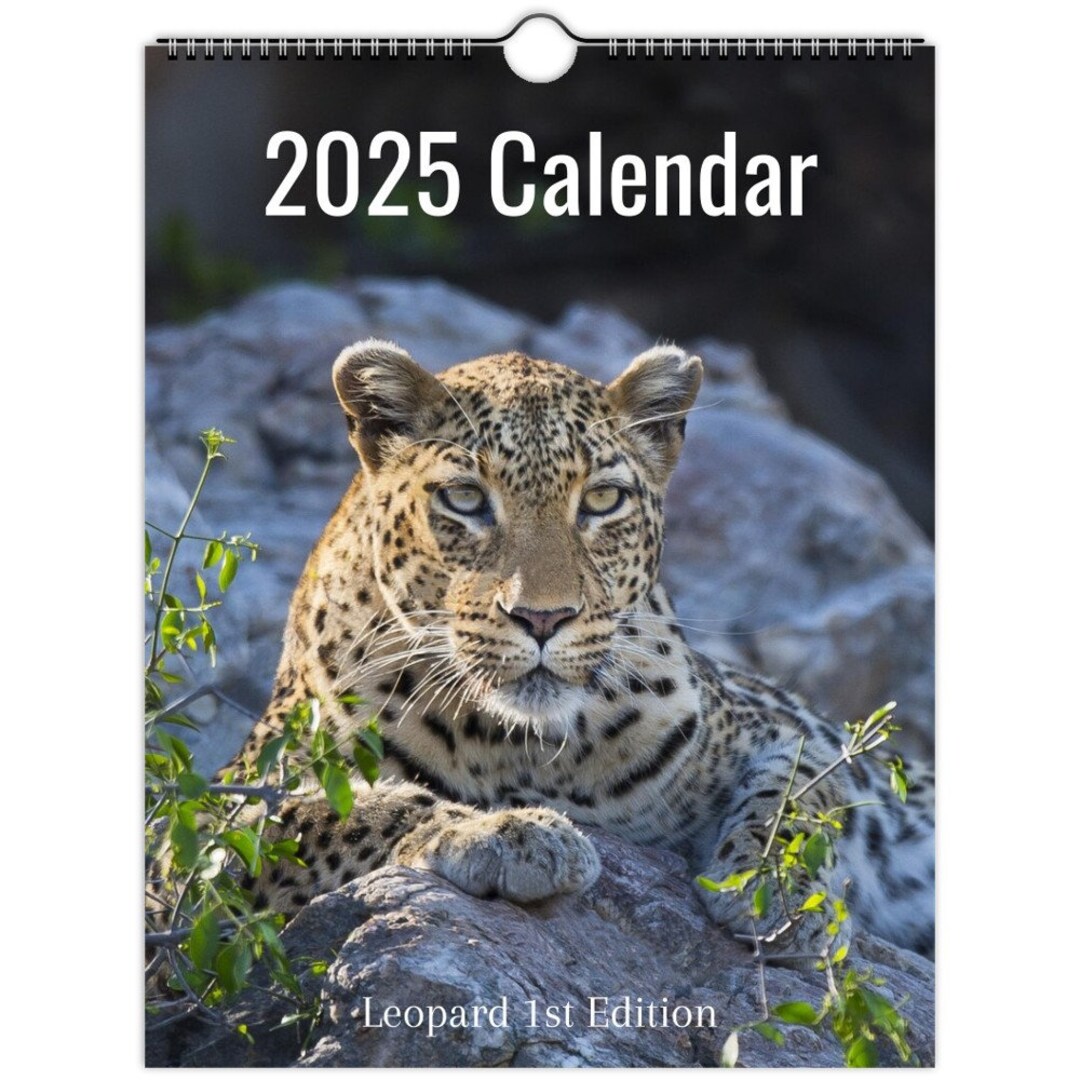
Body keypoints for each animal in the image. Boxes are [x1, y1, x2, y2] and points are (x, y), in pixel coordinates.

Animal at [224, 338, 935, 961]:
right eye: (465, 499)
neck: (527, 746)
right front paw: (504, 833)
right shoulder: (221, 811)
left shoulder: (781, 729)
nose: (543, 617)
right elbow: (346, 811)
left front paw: (777, 890)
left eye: (602, 499)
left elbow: (802, 793)